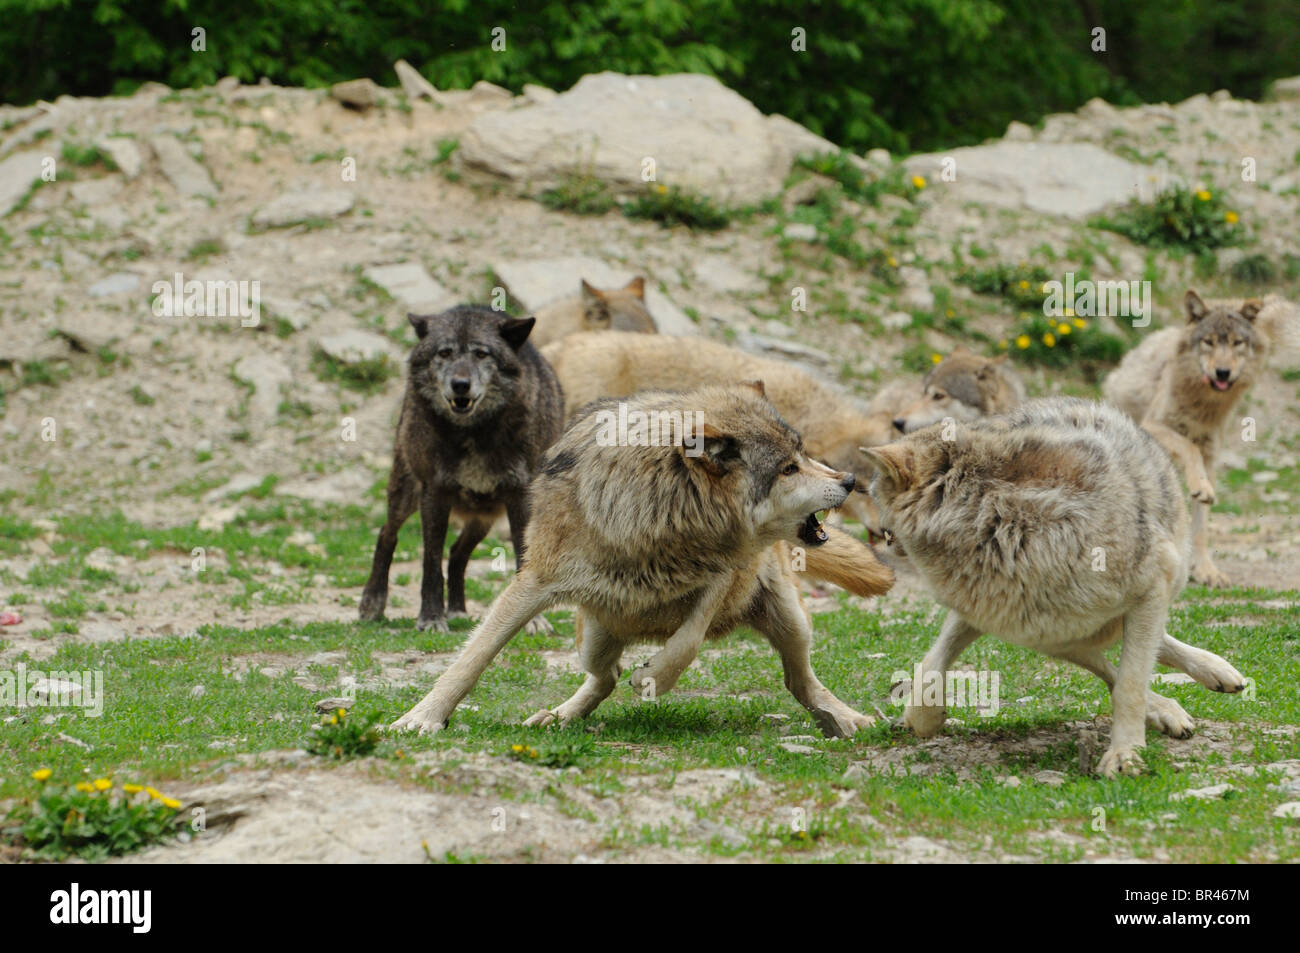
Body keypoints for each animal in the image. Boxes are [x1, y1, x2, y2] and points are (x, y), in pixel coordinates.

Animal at [359, 305, 563, 632]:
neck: (474, 432)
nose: (460, 384)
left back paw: (457, 610)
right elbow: (430, 563)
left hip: (484, 516)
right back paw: (373, 601)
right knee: (386, 534)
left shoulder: (521, 496)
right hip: (406, 495)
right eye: (444, 353)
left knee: (457, 553)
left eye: (481, 354)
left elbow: (523, 557)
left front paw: (532, 620)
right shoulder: (434, 494)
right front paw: (431, 617)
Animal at [390, 382, 895, 736]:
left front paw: (654, 677)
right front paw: (421, 718)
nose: (850, 481)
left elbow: (688, 640)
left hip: (792, 620)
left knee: (799, 680)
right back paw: (559, 716)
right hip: (593, 637)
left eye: (804, 453)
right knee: (605, 675)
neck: (660, 509)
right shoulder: (534, 581)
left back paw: (846, 719)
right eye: (788, 468)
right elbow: (472, 659)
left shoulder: (724, 572)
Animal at [859, 397, 1245, 777]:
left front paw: (1124, 754)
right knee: (1112, 652)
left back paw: (1216, 673)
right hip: (1046, 631)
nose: (879, 536)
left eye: (877, 497)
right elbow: (931, 666)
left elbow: (1131, 684)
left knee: (1139, 645)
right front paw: (923, 717)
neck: (996, 521)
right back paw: (1180, 699)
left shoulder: (1149, 587)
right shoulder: (1010, 620)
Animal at [1103, 290, 1266, 587]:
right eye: (1208, 342)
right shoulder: (1153, 427)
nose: (1222, 372)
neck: (1202, 406)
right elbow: (1189, 447)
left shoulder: (1210, 457)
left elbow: (1201, 524)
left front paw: (1206, 570)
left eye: (1236, 343)